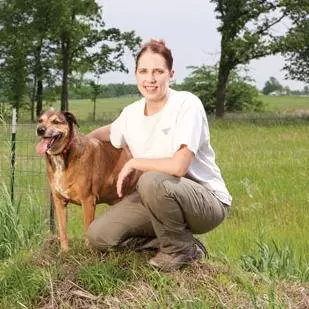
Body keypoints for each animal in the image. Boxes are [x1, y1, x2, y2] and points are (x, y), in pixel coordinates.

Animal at [35, 110, 140, 250]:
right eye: (40, 120)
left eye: (56, 121)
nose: (40, 130)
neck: (63, 157)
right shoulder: (59, 201)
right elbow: (62, 231)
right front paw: (64, 251)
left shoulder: (88, 200)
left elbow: (87, 229)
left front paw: (87, 250)